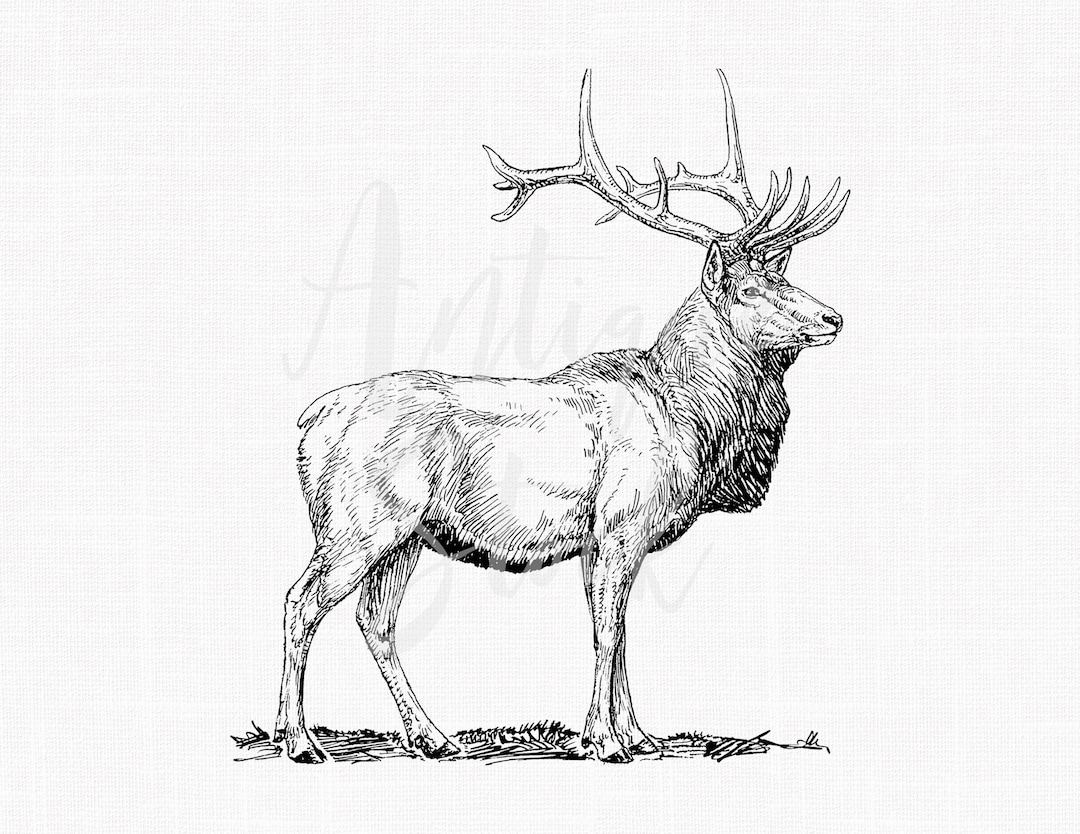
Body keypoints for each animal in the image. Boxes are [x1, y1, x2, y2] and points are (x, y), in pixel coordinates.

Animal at [274, 70, 848, 764]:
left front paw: (640, 736)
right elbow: (608, 630)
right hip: (358, 522)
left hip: (404, 536)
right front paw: (604, 740)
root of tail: (311, 420)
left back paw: (434, 736)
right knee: (300, 604)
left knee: (374, 620)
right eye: (746, 288)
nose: (832, 317)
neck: (690, 420)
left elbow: (617, 632)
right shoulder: (622, 523)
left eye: (783, 276)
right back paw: (299, 740)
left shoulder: (599, 539)